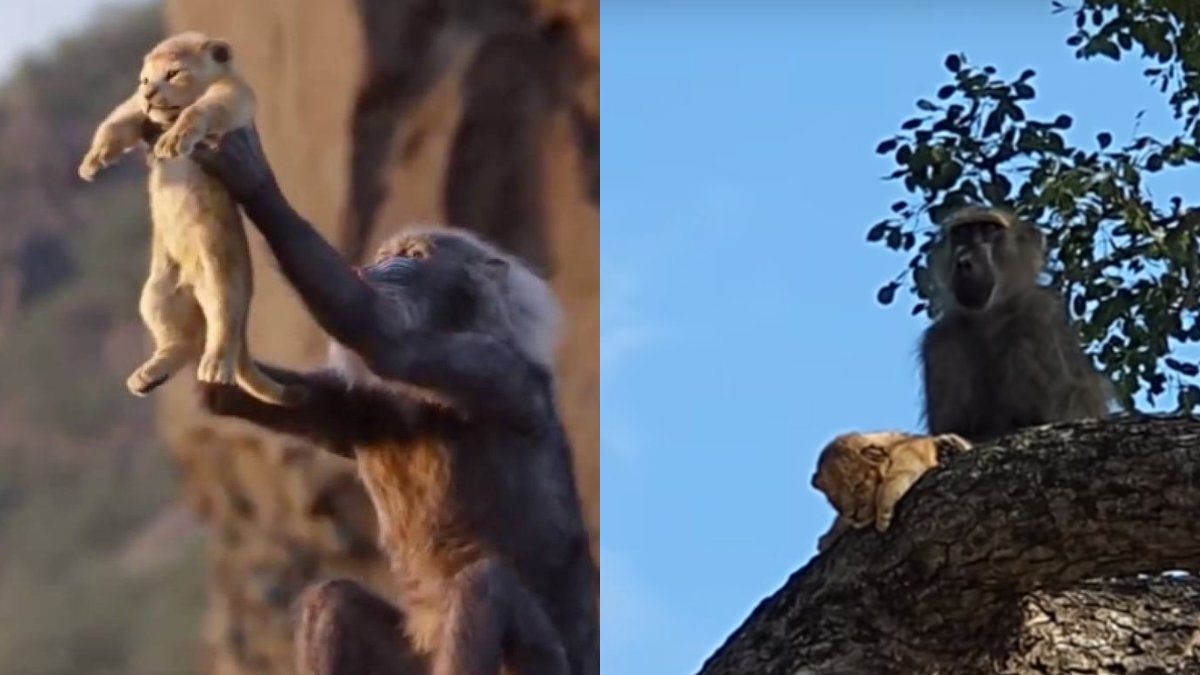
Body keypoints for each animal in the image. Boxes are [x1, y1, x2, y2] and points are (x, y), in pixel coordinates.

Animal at [77, 32, 296, 405]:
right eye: (144, 80)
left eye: (173, 73)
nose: (150, 94)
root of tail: (192, 283)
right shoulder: (136, 110)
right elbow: (117, 119)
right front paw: (93, 162)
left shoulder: (234, 97)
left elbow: (200, 110)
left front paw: (173, 140)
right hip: (158, 292)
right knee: (185, 340)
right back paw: (147, 376)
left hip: (223, 274)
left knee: (224, 322)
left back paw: (216, 367)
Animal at [186, 127, 598, 675]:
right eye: (387, 254)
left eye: (417, 254)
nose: (383, 264)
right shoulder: (368, 407)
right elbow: (314, 406)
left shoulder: (488, 367)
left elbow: (382, 337)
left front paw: (252, 179)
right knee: (332, 603)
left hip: (548, 666)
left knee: (484, 585)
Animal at [812, 431, 971, 551]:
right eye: (834, 499)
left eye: (858, 485)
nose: (854, 516)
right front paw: (828, 537)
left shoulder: (911, 453)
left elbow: (894, 479)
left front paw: (883, 515)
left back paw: (949, 448)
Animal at [920, 206, 1112, 443]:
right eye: (961, 232)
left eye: (989, 229)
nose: (965, 260)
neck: (989, 319)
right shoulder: (940, 341)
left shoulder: (1038, 313)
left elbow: (1049, 416)